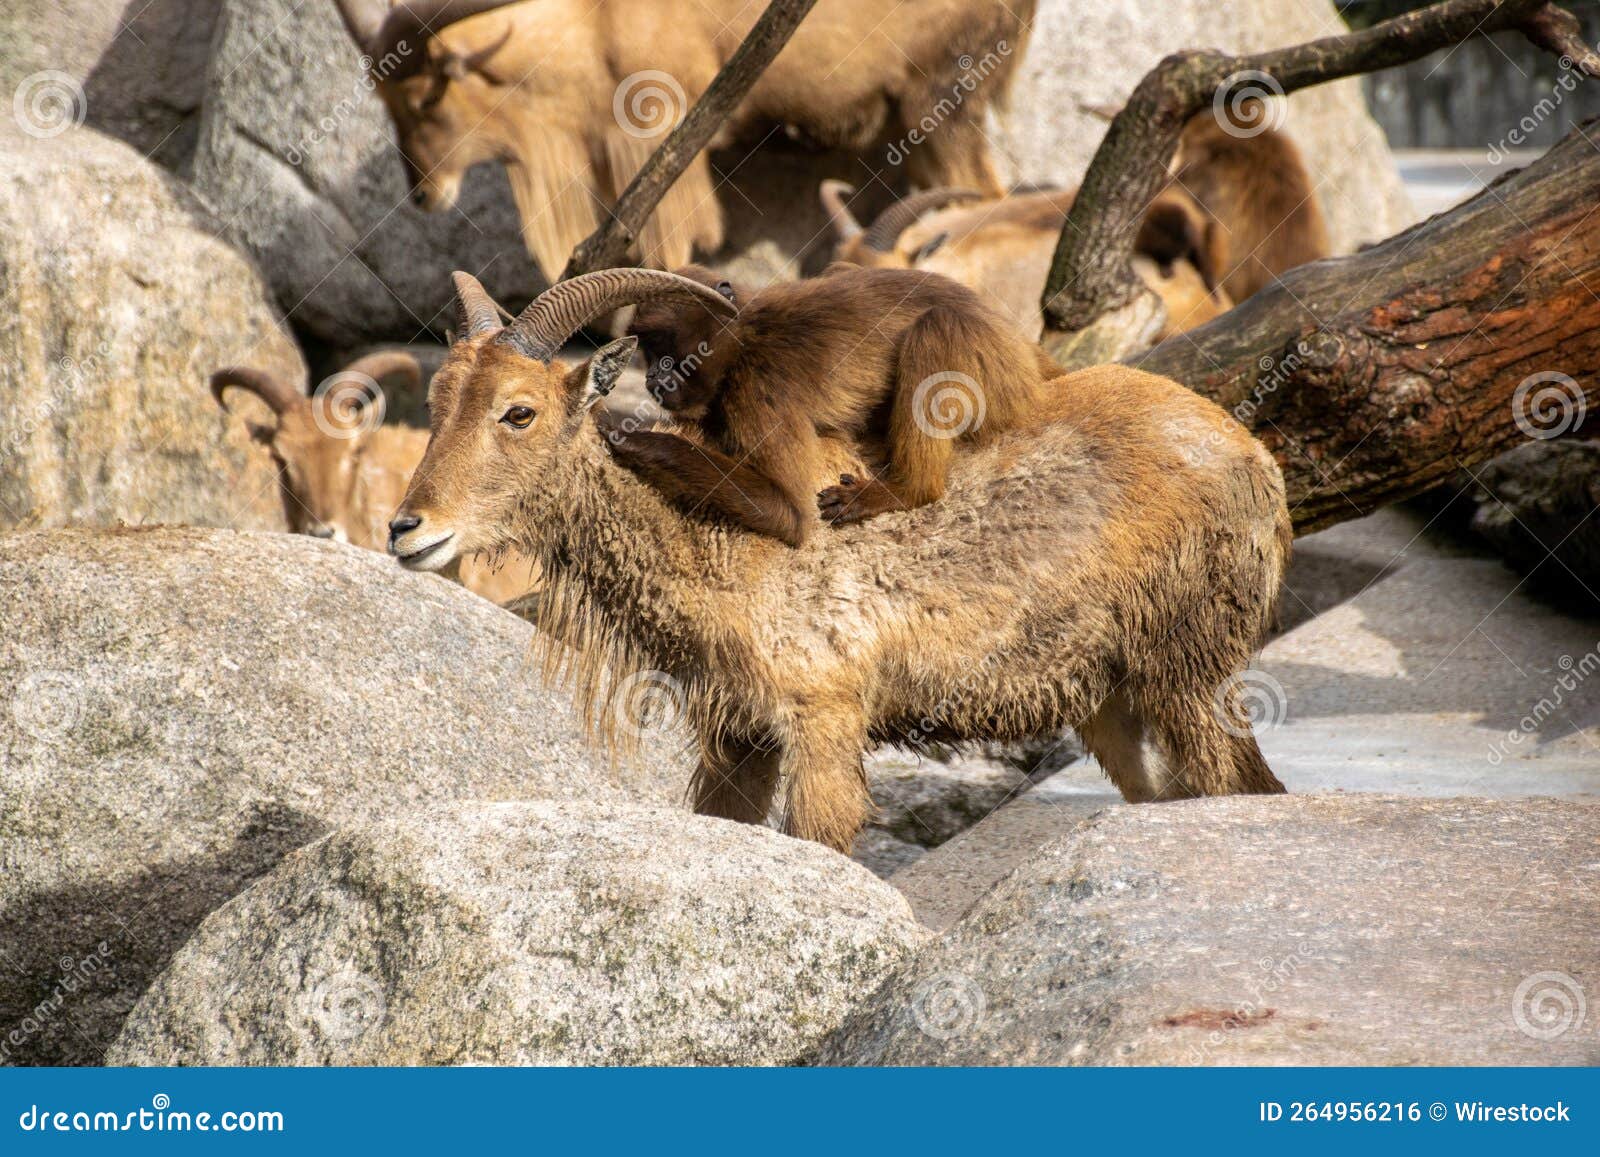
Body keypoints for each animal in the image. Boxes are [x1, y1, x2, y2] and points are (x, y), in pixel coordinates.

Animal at [607, 263, 1060, 547]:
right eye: (649, 352)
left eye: (662, 350)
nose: (651, 378)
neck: (744, 337)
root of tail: (1025, 351)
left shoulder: (757, 389)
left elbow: (787, 514)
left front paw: (640, 443)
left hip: (999, 380)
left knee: (936, 325)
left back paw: (907, 489)